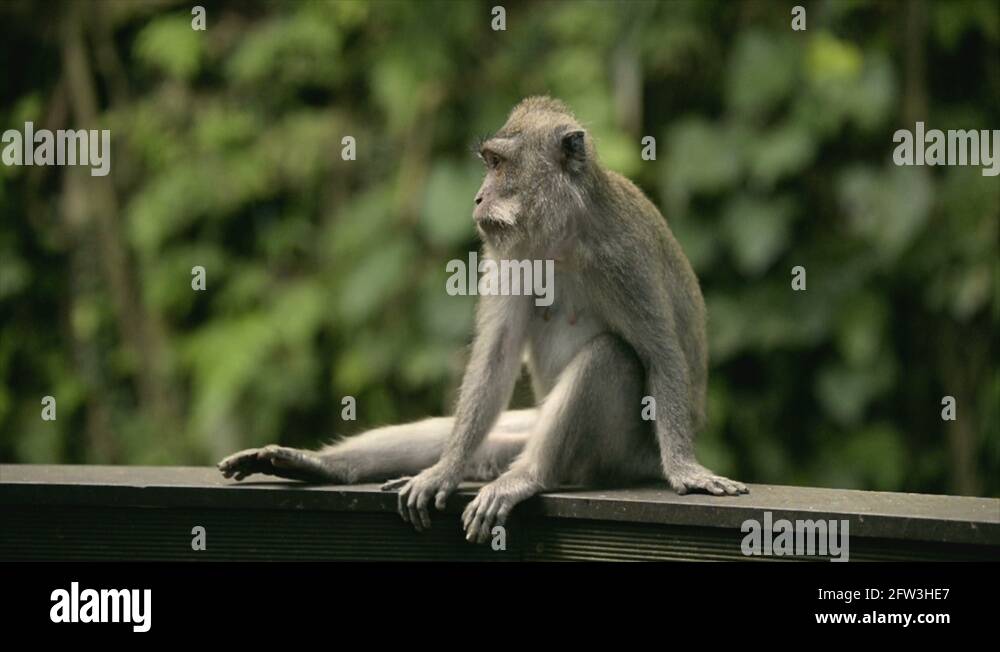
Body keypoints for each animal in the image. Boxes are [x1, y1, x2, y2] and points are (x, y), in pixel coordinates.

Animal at [218, 96, 748, 544]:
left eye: (499, 165)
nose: (476, 198)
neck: (564, 239)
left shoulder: (624, 256)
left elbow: (662, 354)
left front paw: (686, 471)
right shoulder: (508, 257)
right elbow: (495, 358)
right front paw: (443, 471)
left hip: (619, 453)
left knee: (611, 357)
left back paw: (527, 477)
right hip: (521, 431)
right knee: (451, 429)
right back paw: (324, 467)